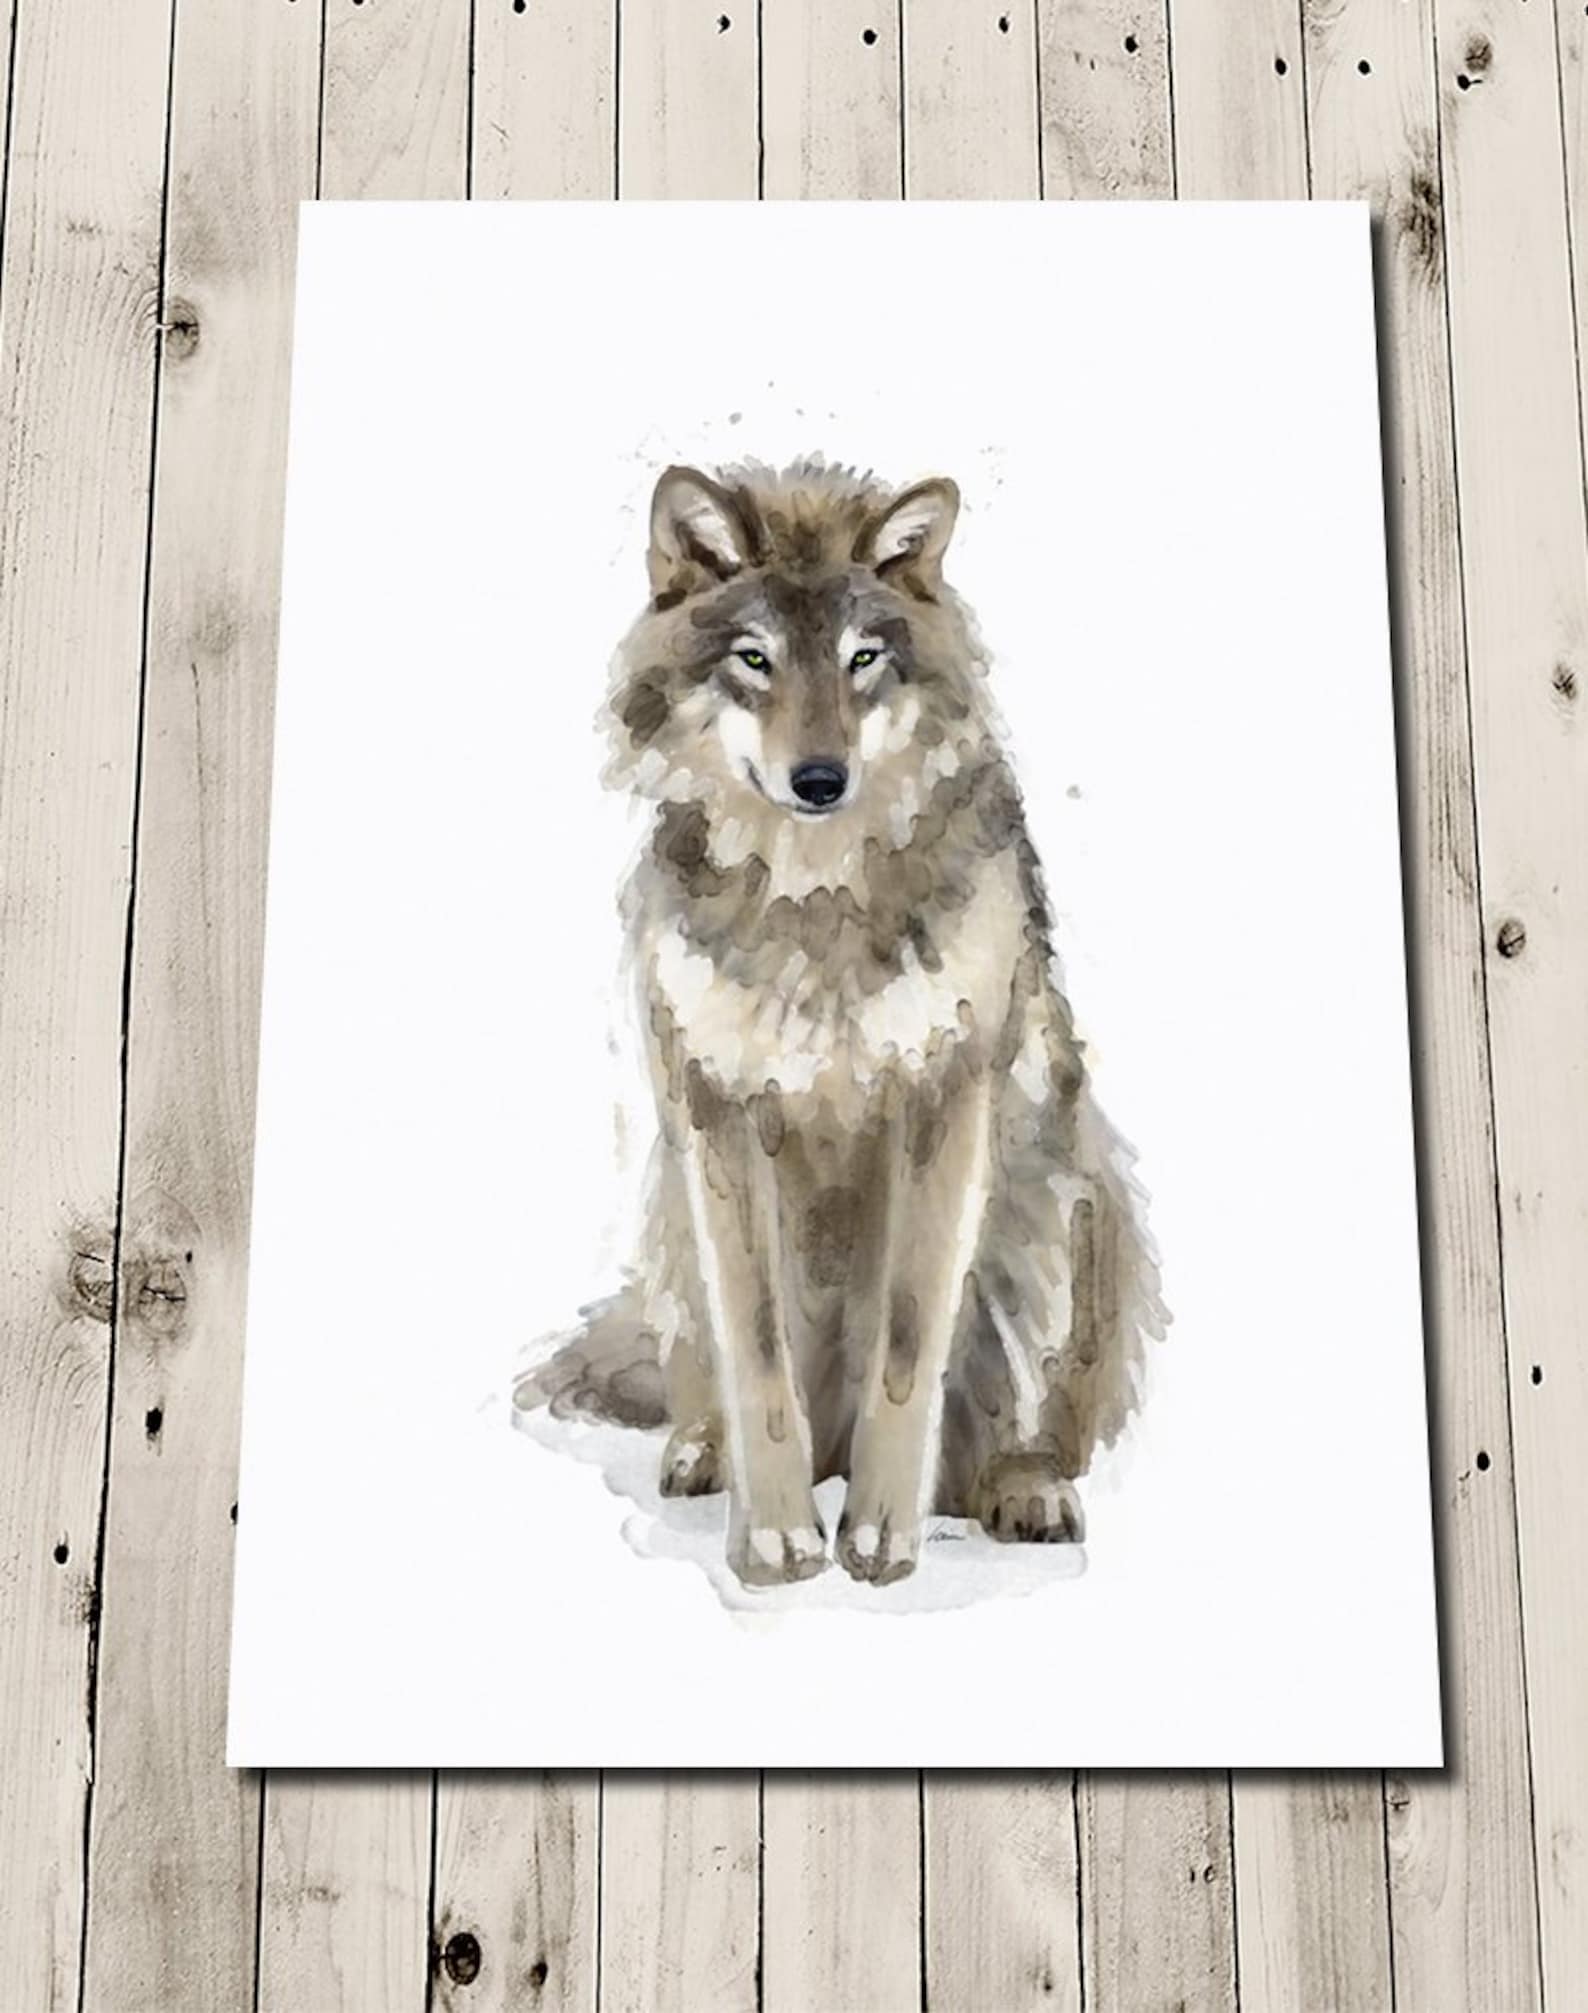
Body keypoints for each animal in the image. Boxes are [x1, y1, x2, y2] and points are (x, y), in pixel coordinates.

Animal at [514, 457, 1165, 1588]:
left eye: (863, 658)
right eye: (754, 660)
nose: (819, 779)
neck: (812, 895)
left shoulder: (946, 1098)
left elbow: (906, 1345)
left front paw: (879, 1539)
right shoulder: (714, 1114)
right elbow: (756, 1348)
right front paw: (777, 1542)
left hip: (1063, 1199)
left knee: (1024, 1427)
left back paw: (1024, 1489)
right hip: (669, 1216)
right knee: (708, 1376)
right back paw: (702, 1451)